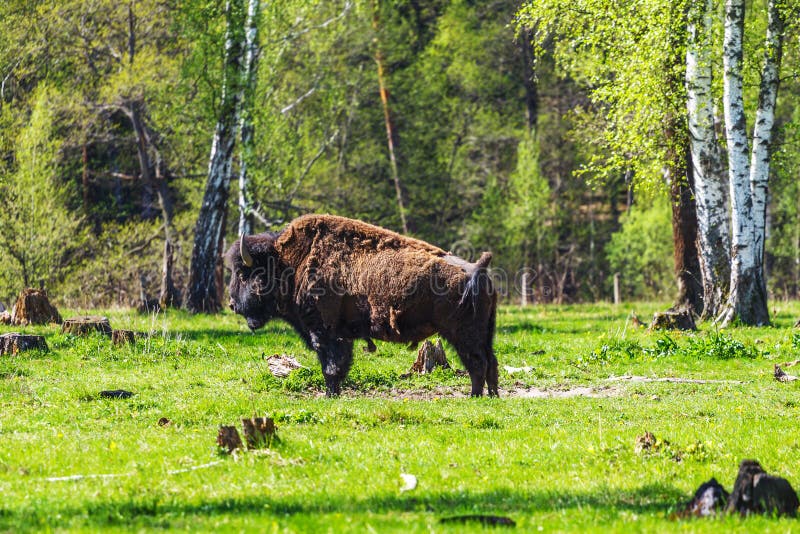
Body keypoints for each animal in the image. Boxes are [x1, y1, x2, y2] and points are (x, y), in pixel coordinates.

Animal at [225, 214, 498, 397]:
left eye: (243, 274)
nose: (231, 304)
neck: (292, 263)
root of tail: (477, 271)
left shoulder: (324, 333)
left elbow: (331, 367)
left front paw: (330, 395)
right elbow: (338, 366)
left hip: (462, 334)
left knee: (477, 363)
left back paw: (474, 396)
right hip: (483, 333)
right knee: (490, 362)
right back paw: (491, 396)